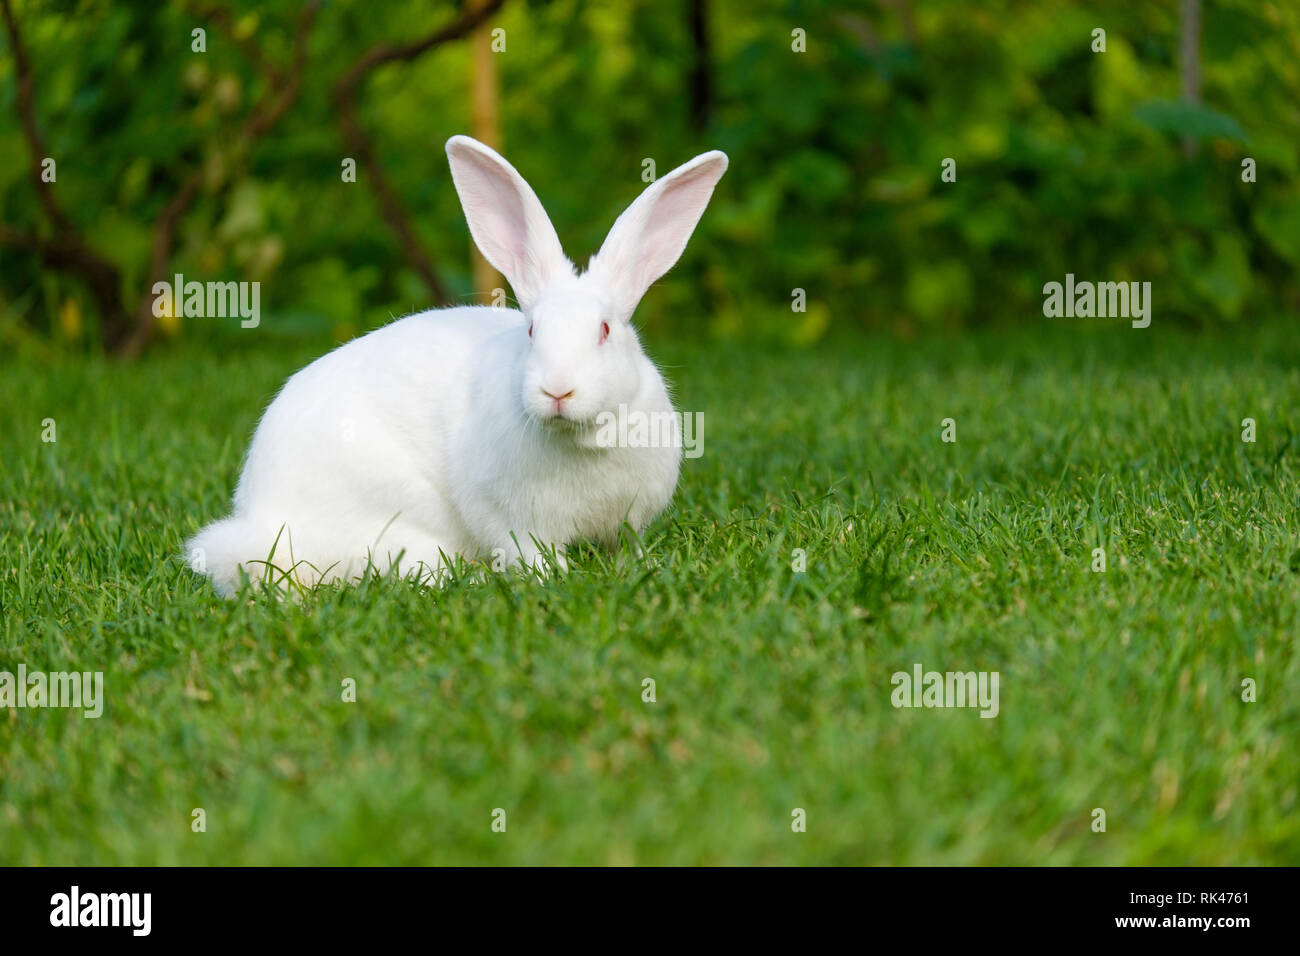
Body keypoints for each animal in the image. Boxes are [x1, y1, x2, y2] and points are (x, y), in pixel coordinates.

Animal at [187, 135, 729, 596]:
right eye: (532, 332)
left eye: (605, 330)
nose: (558, 391)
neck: (584, 437)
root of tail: (257, 526)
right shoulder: (514, 519)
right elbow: (532, 554)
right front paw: (549, 578)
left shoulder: (626, 521)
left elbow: (624, 549)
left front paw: (639, 568)